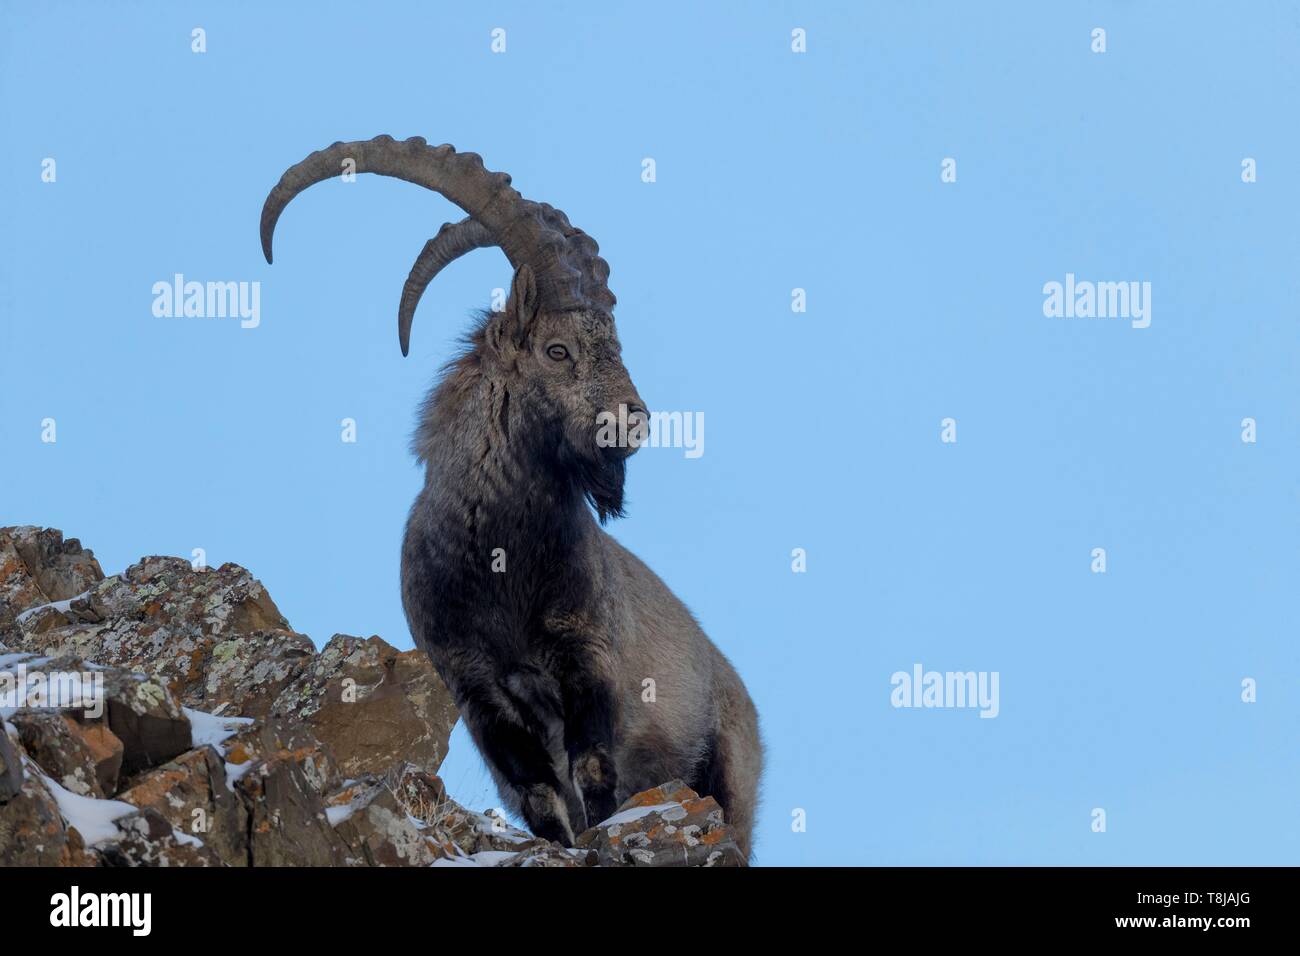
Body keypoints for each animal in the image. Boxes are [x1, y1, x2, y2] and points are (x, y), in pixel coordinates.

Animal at [260, 136, 762, 857]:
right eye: (557, 350)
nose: (634, 421)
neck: (500, 559)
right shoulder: (475, 688)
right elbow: (540, 794)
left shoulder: (587, 656)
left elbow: (593, 767)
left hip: (729, 775)